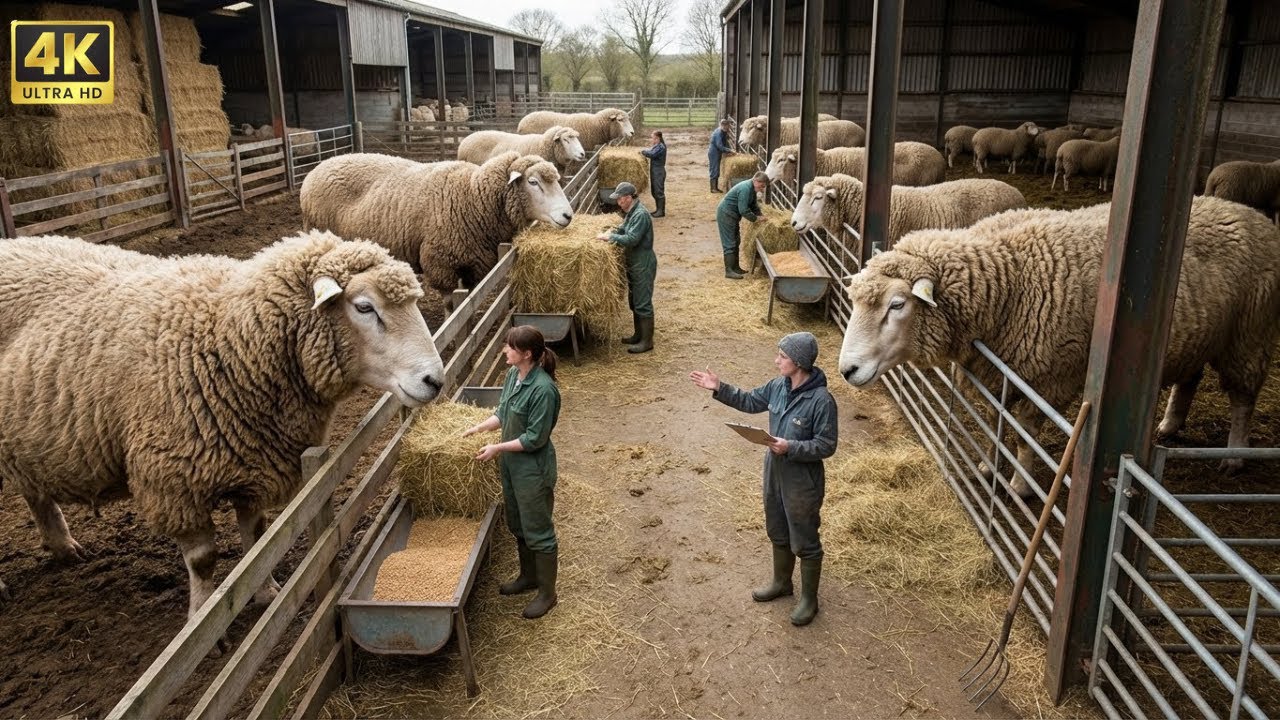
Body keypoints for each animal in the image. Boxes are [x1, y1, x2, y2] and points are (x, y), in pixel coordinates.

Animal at [0, 230, 446, 620]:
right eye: (364, 307)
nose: (435, 380)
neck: (228, 341)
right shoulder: (174, 482)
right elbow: (203, 561)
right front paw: (202, 617)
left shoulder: (255, 463)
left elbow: (257, 540)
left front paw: (266, 593)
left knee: (35, 492)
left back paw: (63, 546)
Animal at [300, 151, 573, 298]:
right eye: (533, 182)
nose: (568, 215)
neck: (471, 197)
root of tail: (316, 169)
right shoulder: (440, 264)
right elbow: (452, 307)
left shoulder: (474, 265)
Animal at [836, 196, 1280, 498]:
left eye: (897, 305)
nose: (847, 370)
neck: (1008, 283)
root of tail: (1253, 214)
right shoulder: (999, 370)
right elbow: (997, 425)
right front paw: (988, 466)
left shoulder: (1048, 379)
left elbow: (1024, 434)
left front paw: (1019, 485)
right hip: (1202, 333)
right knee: (1190, 377)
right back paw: (1170, 424)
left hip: (1249, 333)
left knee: (1243, 397)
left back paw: (1233, 457)